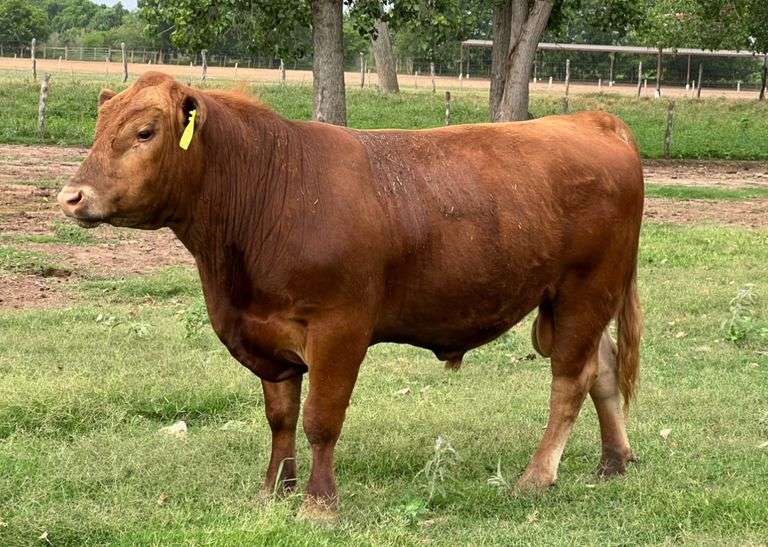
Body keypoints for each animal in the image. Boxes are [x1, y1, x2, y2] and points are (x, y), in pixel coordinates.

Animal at [57, 71, 643, 520]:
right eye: (98, 128)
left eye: (145, 132)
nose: (71, 196)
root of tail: (591, 120)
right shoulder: (267, 335)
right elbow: (281, 417)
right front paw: (274, 490)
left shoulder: (340, 327)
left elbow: (321, 418)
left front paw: (319, 503)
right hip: (576, 299)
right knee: (604, 368)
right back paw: (613, 461)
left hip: (586, 289)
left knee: (571, 379)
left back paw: (537, 476)